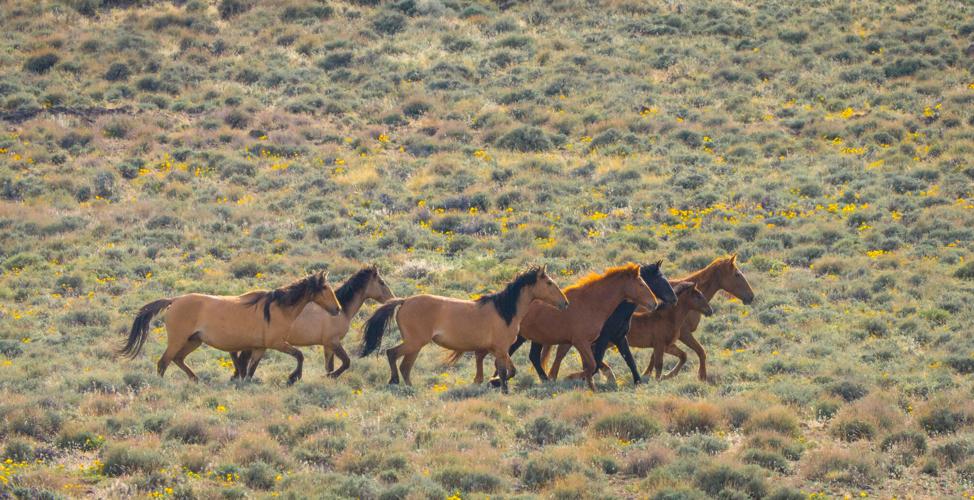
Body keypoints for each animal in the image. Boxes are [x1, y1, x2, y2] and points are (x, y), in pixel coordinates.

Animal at [121, 271, 341, 385]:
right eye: (325, 288)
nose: (337, 309)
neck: (276, 308)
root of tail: (174, 300)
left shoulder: (260, 347)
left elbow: (250, 370)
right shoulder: (277, 343)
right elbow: (299, 355)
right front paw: (293, 377)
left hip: (194, 341)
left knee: (177, 359)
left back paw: (195, 379)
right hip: (178, 340)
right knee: (163, 362)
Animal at [229, 265, 395, 380]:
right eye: (381, 282)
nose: (392, 298)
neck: (341, 311)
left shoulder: (328, 345)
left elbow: (330, 366)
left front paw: (328, 376)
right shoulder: (333, 342)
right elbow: (346, 362)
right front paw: (327, 376)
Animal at [359, 266, 568, 393]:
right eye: (549, 283)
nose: (565, 303)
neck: (504, 311)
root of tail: (404, 301)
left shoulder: (494, 350)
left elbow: (502, 371)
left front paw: (493, 384)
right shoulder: (501, 349)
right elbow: (506, 372)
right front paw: (501, 388)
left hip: (415, 345)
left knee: (405, 366)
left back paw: (410, 388)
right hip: (414, 343)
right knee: (392, 354)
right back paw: (395, 382)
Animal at [502, 263, 659, 391]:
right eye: (641, 284)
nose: (655, 303)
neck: (590, 304)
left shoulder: (586, 343)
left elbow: (591, 365)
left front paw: (591, 387)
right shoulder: (581, 342)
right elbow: (592, 365)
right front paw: (571, 378)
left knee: (528, 356)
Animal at [545, 255, 754, 382]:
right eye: (737, 274)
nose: (751, 297)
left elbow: (659, 357)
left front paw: (648, 376)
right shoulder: (683, 334)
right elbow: (699, 352)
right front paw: (700, 376)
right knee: (563, 353)